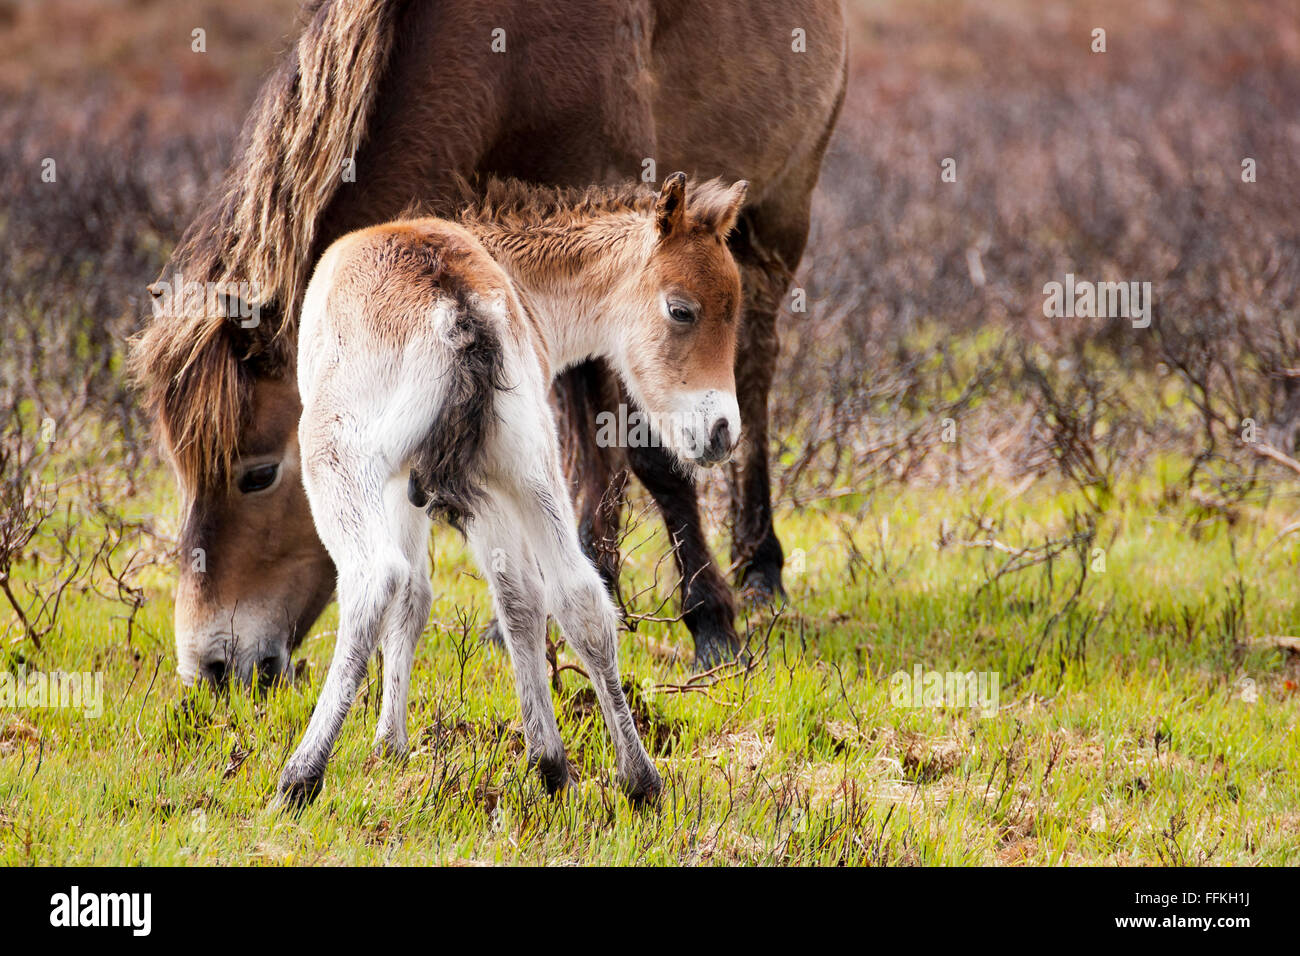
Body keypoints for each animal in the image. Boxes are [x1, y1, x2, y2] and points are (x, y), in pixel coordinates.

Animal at [131, 0, 847, 683]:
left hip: (781, 216)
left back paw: (759, 568)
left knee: (753, 373)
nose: (211, 666)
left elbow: (654, 455)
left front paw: (712, 623)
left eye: (258, 474)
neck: (504, 53)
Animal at [278, 174, 748, 804]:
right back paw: (634, 779)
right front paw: (546, 759)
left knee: (375, 577)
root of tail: (456, 303)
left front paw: (389, 745)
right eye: (682, 310)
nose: (723, 432)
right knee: (580, 597)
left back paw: (301, 774)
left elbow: (414, 595)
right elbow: (520, 600)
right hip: (532, 468)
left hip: (339, 460)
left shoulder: (404, 482)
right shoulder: (482, 484)